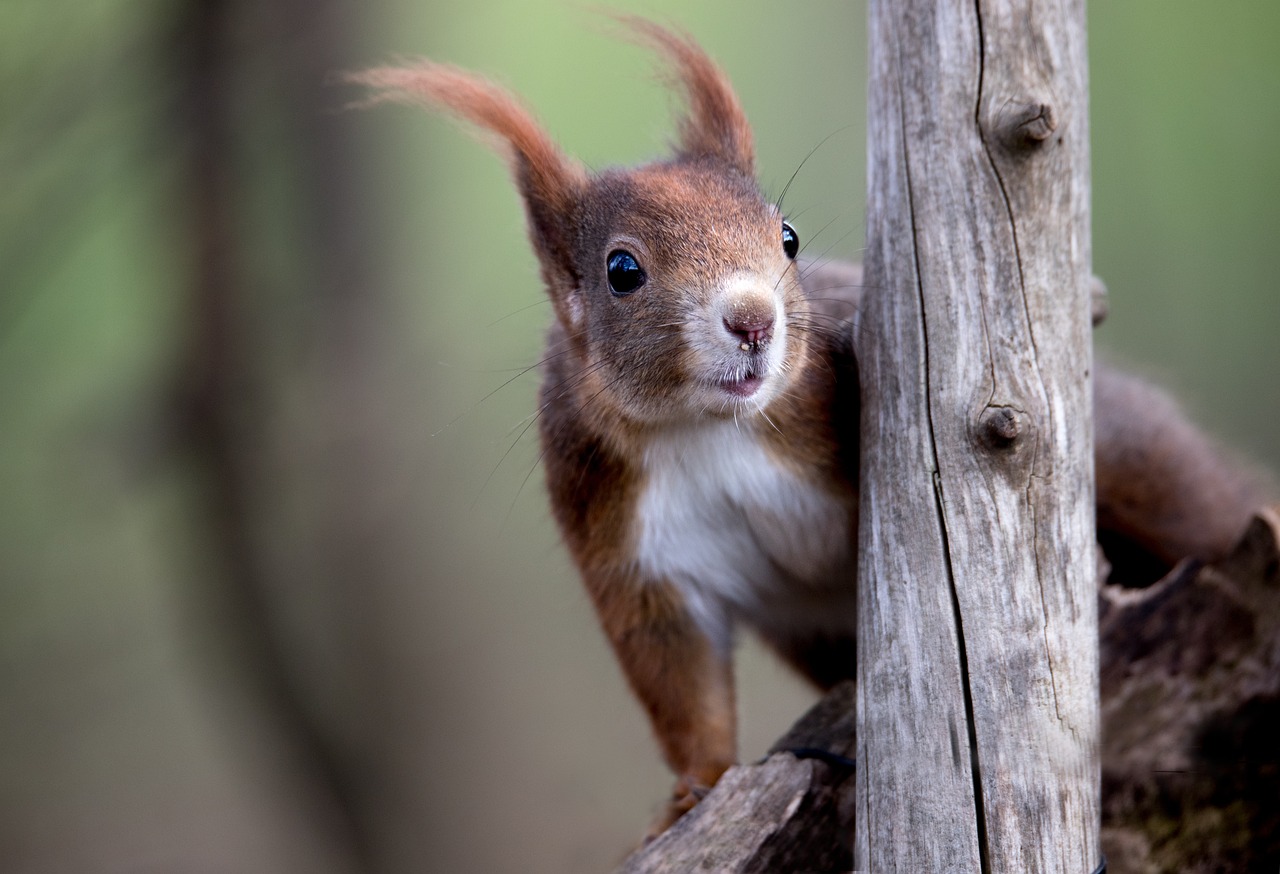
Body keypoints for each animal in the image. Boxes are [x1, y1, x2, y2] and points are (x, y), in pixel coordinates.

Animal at [353, 17, 1266, 836]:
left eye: (786, 236)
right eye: (622, 270)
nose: (754, 318)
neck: (705, 429)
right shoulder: (628, 548)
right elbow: (679, 686)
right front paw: (692, 796)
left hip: (1137, 461)